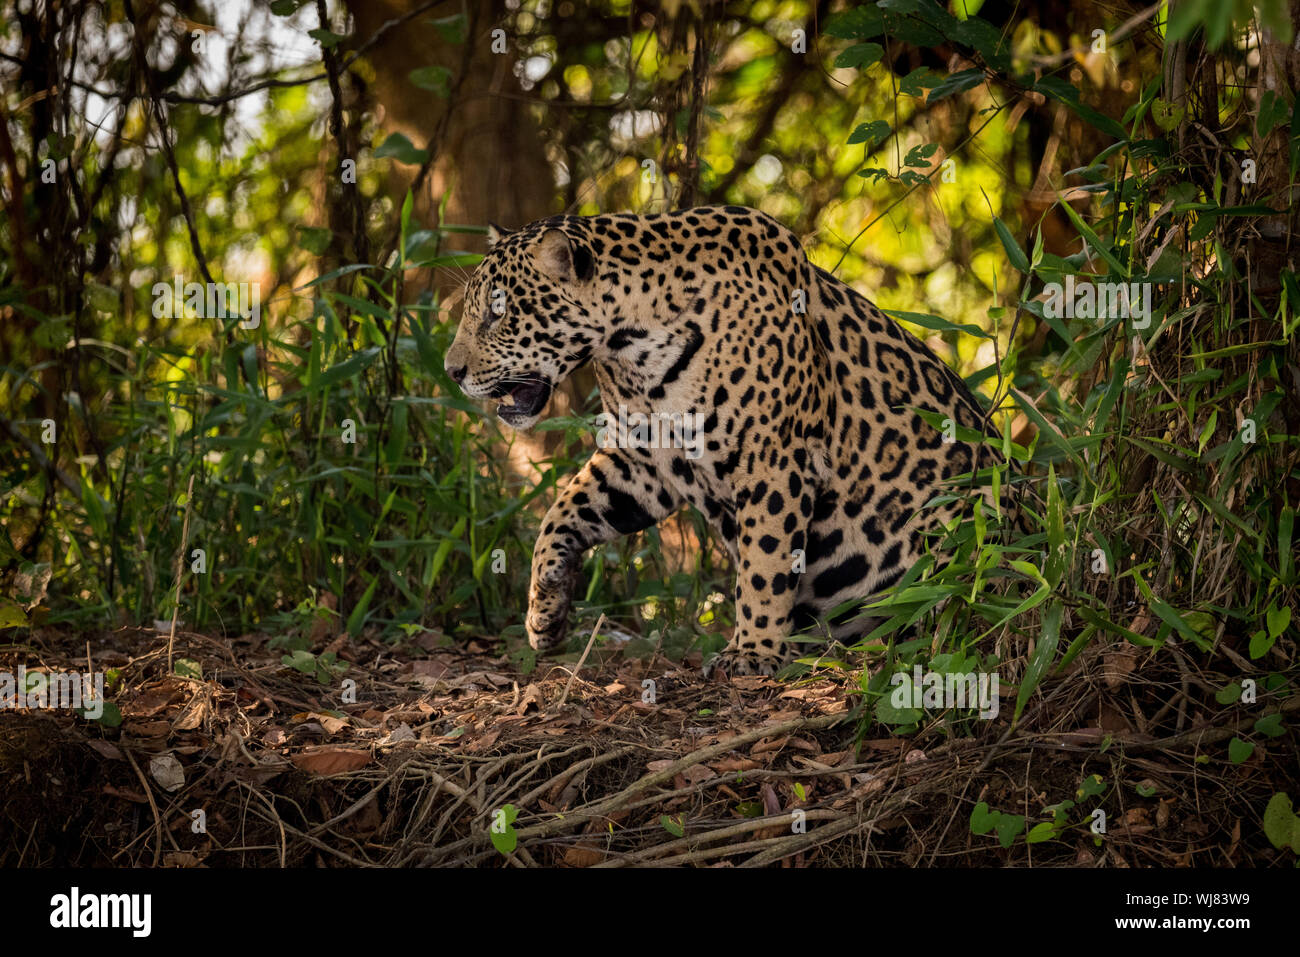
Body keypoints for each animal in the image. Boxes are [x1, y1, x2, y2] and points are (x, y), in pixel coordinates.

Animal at [443, 205, 1000, 677]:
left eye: (498, 313)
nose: (451, 372)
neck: (630, 346)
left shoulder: (773, 459)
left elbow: (765, 560)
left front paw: (752, 652)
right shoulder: (641, 461)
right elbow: (562, 512)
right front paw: (545, 609)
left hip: (963, 521)